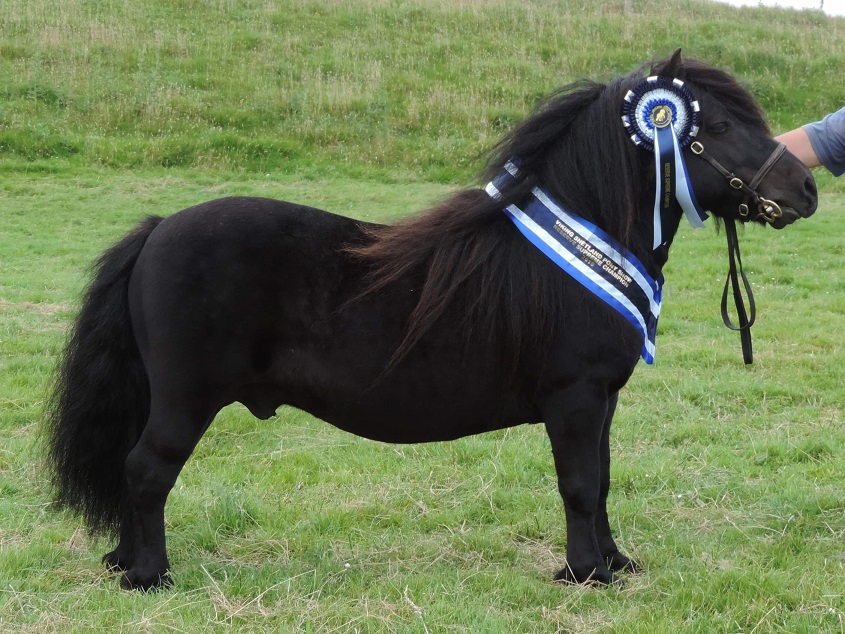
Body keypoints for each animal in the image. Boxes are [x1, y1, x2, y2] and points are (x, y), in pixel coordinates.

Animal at [46, 50, 817, 591]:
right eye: (718, 127)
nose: (805, 188)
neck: (583, 242)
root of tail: (158, 230)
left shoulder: (601, 402)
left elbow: (599, 481)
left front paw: (612, 562)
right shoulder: (573, 397)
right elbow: (576, 484)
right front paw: (584, 574)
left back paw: (123, 562)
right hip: (185, 398)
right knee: (146, 470)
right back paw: (150, 577)